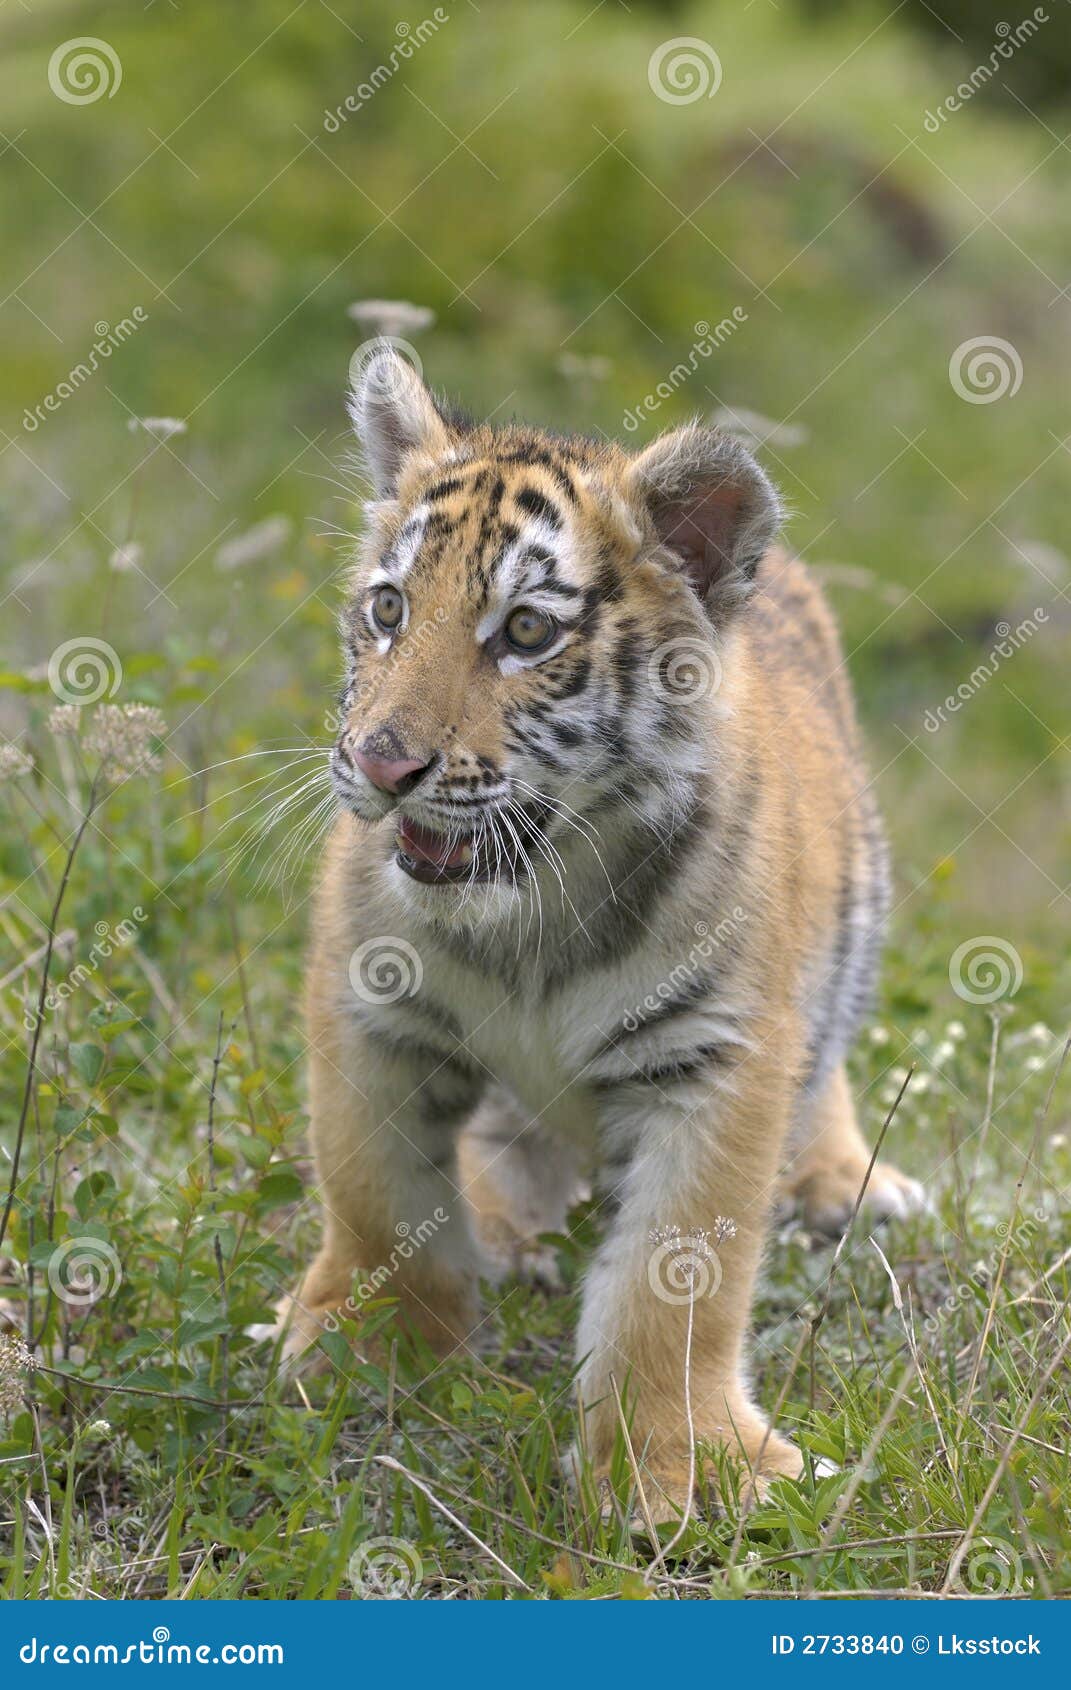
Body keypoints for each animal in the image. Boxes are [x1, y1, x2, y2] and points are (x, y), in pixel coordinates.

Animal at [278, 346, 924, 1516]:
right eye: (388, 608)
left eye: (527, 632)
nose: (383, 765)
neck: (531, 908)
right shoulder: (367, 1003)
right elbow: (376, 1193)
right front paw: (366, 1357)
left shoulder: (718, 1058)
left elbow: (678, 1276)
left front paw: (679, 1469)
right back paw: (509, 1232)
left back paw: (846, 1183)